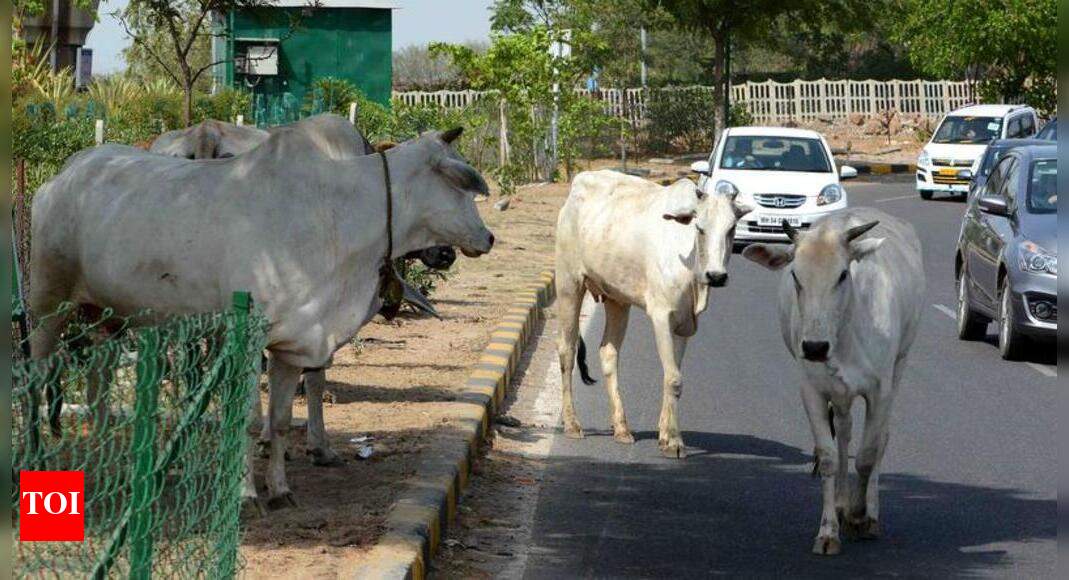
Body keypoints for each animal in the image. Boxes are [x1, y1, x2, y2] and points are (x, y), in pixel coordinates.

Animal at [29, 114, 495, 509]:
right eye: (461, 181)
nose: (487, 237)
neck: (337, 211)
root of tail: (66, 172)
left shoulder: (294, 343)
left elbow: (282, 419)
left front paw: (281, 488)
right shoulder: (247, 339)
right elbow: (251, 421)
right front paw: (246, 493)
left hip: (106, 316)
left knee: (99, 379)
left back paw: (109, 455)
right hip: (48, 304)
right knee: (39, 376)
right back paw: (37, 456)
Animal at [555, 170, 753, 458]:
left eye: (732, 229)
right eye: (700, 228)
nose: (716, 276)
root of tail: (577, 186)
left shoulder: (685, 325)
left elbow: (672, 378)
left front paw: (665, 433)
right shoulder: (661, 316)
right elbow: (674, 378)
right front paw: (674, 442)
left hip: (617, 298)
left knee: (608, 352)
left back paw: (621, 428)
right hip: (569, 283)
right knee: (567, 349)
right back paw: (572, 424)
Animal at [741, 207, 924, 555]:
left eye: (841, 275)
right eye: (795, 276)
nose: (814, 347)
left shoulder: (880, 391)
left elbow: (867, 455)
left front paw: (859, 514)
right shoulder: (812, 390)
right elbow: (828, 457)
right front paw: (828, 531)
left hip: (901, 364)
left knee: (881, 438)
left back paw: (869, 513)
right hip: (838, 394)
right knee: (844, 432)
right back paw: (840, 503)